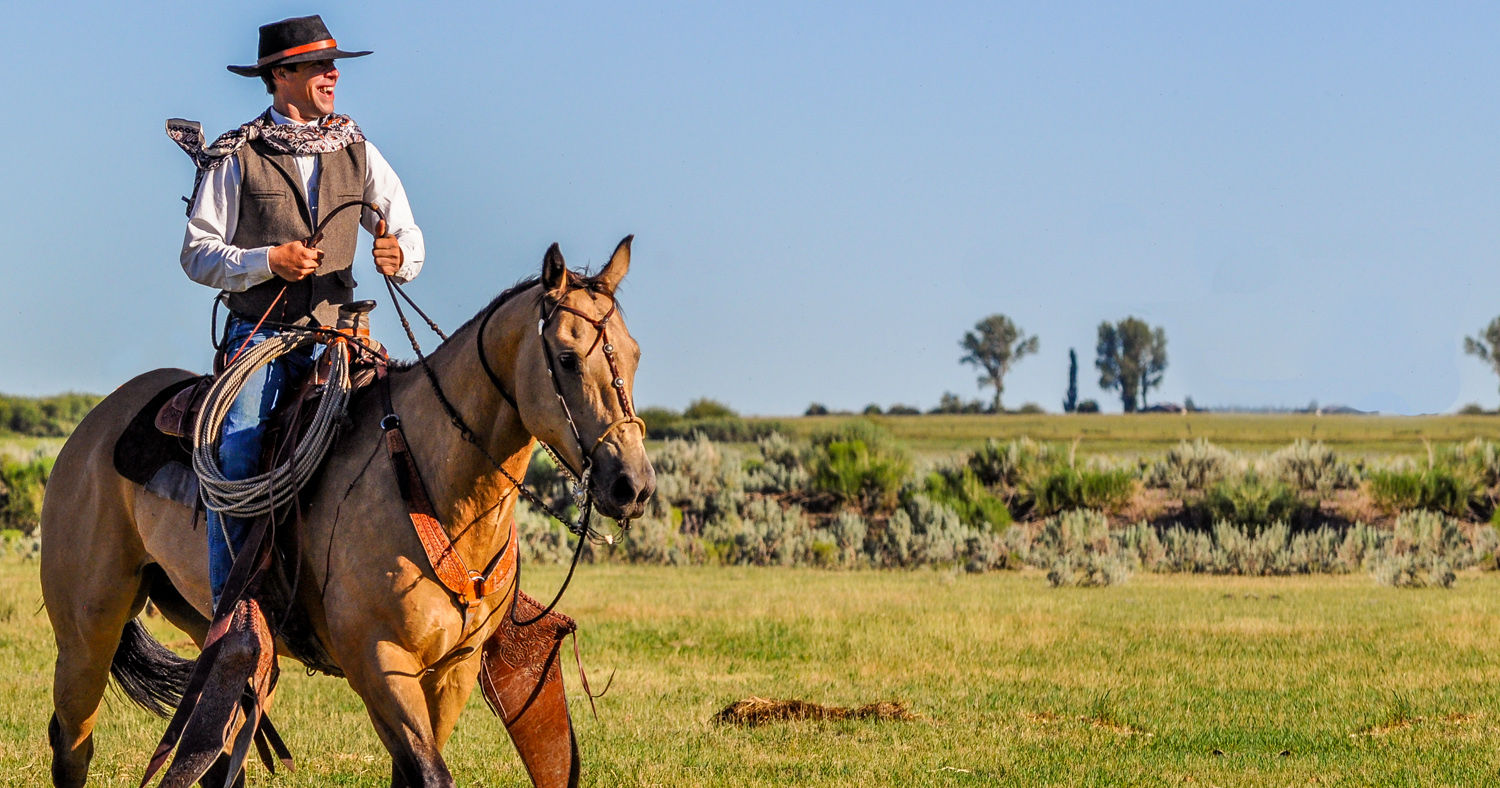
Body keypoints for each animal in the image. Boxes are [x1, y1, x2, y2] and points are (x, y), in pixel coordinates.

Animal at [40, 237, 655, 788]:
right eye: (568, 358)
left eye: (634, 353)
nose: (633, 484)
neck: (434, 485)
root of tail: (92, 428)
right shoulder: (379, 662)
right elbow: (431, 774)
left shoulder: (453, 670)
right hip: (87, 634)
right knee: (73, 742)